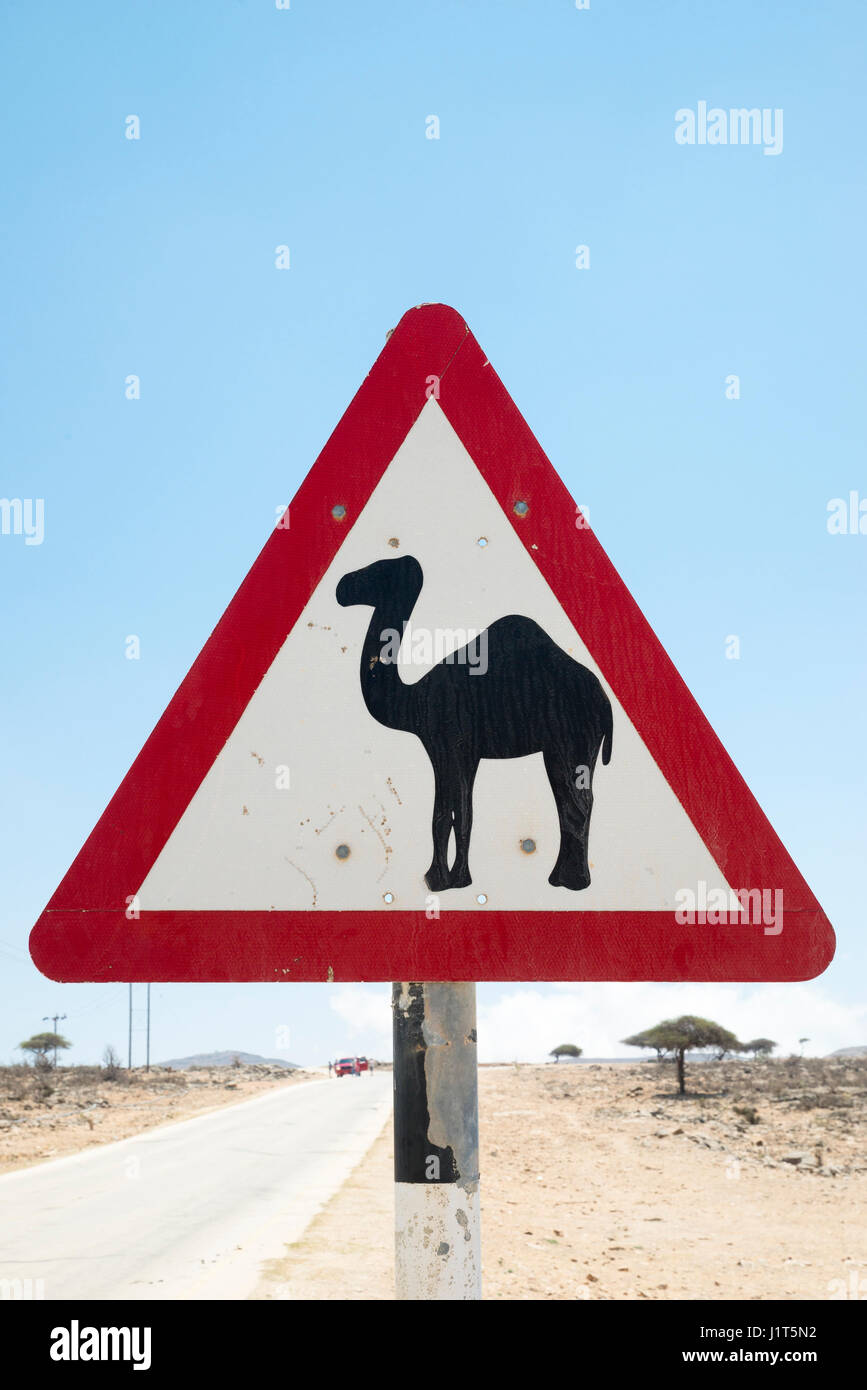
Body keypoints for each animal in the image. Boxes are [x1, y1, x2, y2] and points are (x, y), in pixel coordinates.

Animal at [336, 555, 612, 893]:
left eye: (377, 569)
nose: (341, 588)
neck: (414, 696)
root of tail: (604, 700)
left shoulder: (444, 742)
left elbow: (445, 813)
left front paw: (439, 880)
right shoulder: (464, 751)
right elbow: (460, 810)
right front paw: (456, 878)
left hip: (571, 736)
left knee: (576, 803)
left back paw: (573, 882)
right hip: (572, 745)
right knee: (573, 799)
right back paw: (561, 878)